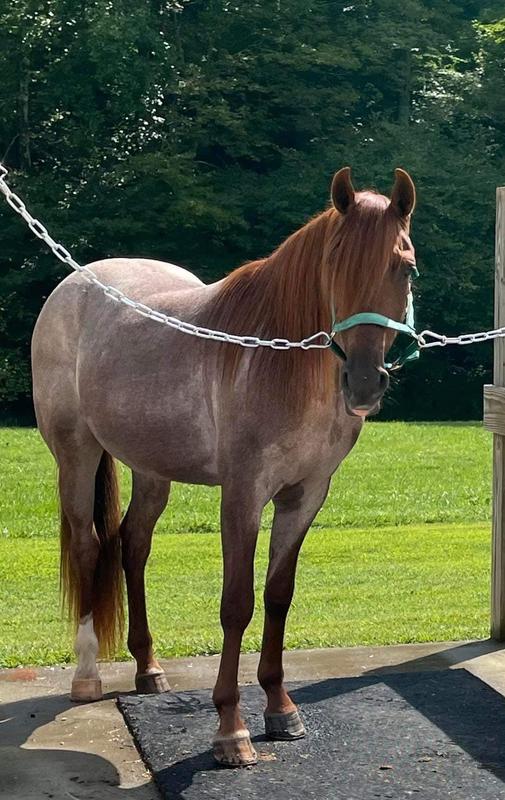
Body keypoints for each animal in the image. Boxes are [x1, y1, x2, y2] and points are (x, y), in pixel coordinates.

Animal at [31, 166, 417, 767]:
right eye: (334, 265)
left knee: (132, 545)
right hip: (76, 453)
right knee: (89, 547)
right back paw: (87, 676)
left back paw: (149, 668)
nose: (362, 382)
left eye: (405, 267)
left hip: (152, 469)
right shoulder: (242, 495)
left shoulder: (306, 494)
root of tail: (74, 286)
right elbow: (237, 605)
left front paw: (282, 710)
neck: (279, 362)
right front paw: (231, 731)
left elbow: (278, 596)